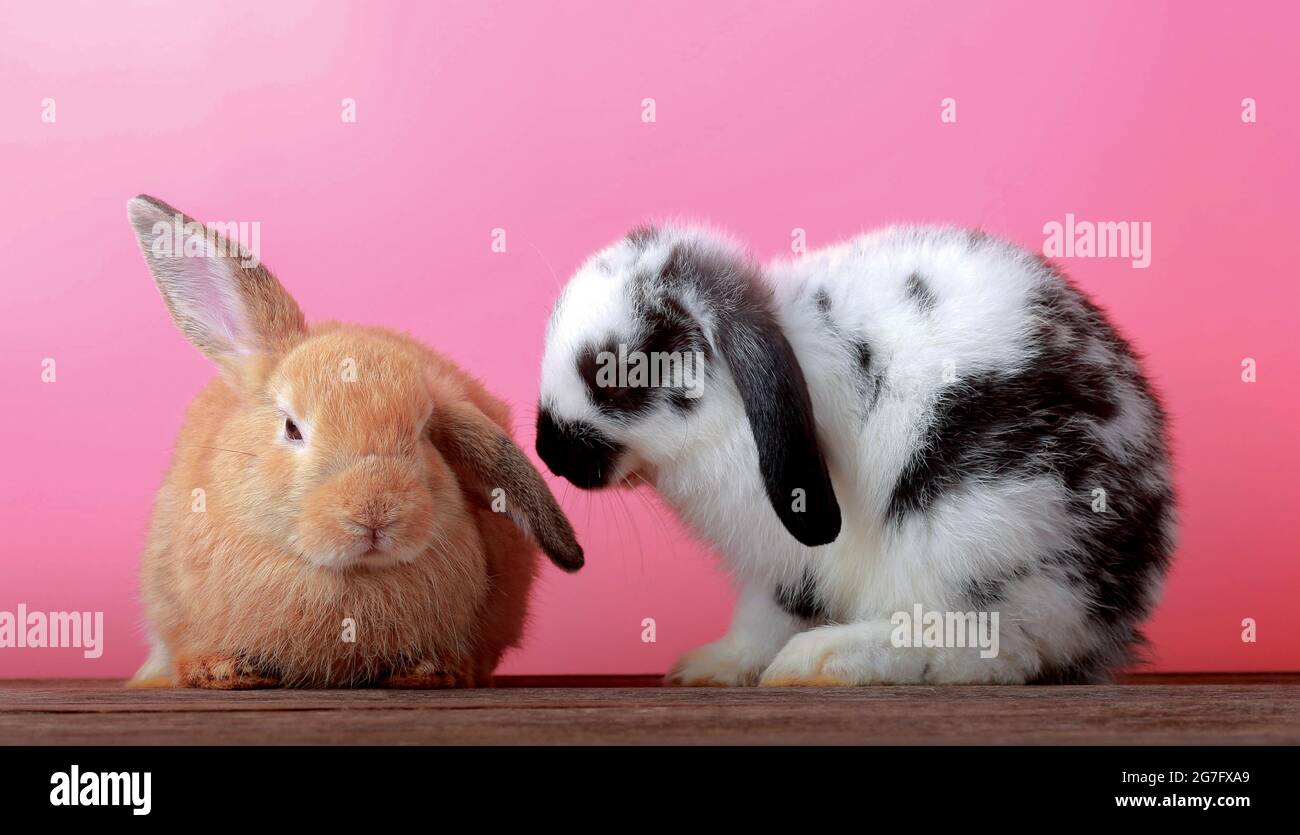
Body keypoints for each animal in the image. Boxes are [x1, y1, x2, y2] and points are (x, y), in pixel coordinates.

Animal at [535, 223, 1175, 685]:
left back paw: (820, 663)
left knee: (988, 647)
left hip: (979, 520)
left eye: (614, 375)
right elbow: (760, 621)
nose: (548, 450)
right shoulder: (783, 572)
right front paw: (707, 669)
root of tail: (1111, 612)